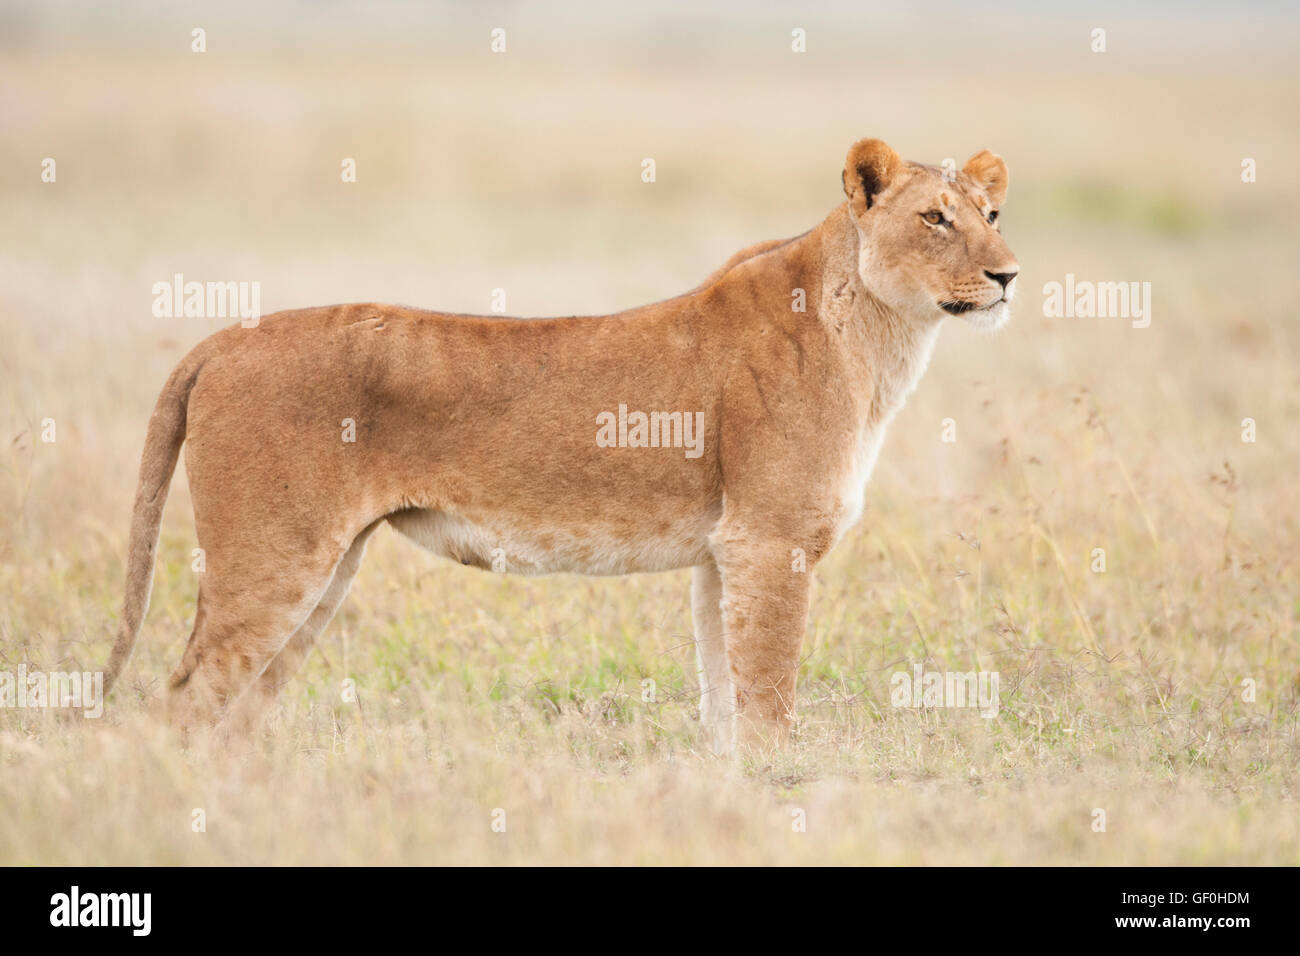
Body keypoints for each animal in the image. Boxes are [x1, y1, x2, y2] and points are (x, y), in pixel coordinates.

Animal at [104, 138, 1018, 753]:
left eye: (992, 215)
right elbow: (769, 695)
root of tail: (221, 341)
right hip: (273, 561)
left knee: (234, 713)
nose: (1009, 275)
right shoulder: (771, 540)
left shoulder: (725, 553)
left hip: (325, 574)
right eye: (935, 218)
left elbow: (723, 693)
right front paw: (779, 796)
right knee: (177, 706)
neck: (880, 338)